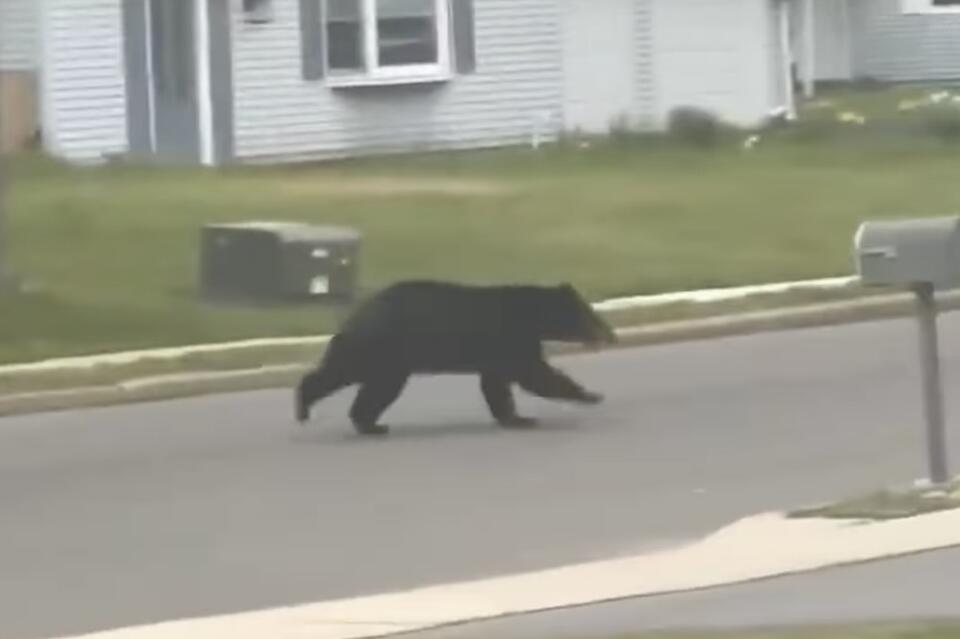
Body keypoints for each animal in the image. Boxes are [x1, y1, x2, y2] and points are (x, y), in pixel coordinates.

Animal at [294, 280, 617, 435]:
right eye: (591, 316)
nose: (611, 335)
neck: (532, 315)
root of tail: (353, 317)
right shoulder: (510, 338)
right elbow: (533, 374)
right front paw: (590, 395)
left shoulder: (497, 353)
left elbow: (495, 385)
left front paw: (515, 417)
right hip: (380, 350)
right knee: (349, 376)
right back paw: (308, 407)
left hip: (385, 358)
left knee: (372, 388)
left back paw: (369, 424)